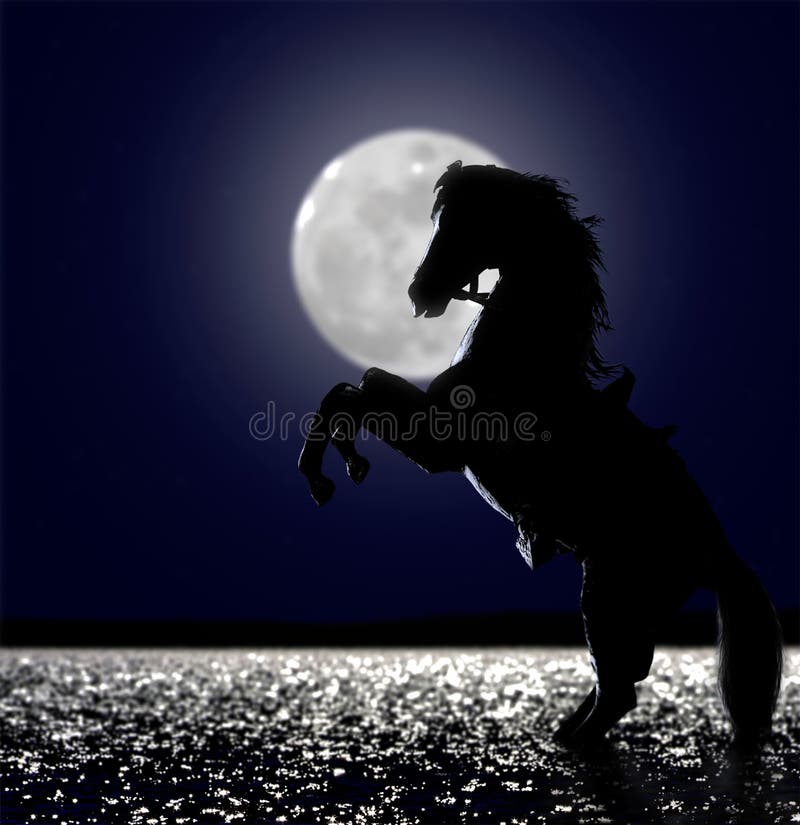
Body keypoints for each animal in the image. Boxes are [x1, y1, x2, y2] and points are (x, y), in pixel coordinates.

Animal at [298, 161, 783, 748]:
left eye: (465, 222)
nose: (420, 293)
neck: (520, 356)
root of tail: (716, 549)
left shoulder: (438, 443)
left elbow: (351, 396)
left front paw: (332, 475)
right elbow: (351, 390)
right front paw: (339, 469)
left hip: (608, 597)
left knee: (620, 689)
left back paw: (570, 742)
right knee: (617, 683)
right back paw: (563, 733)